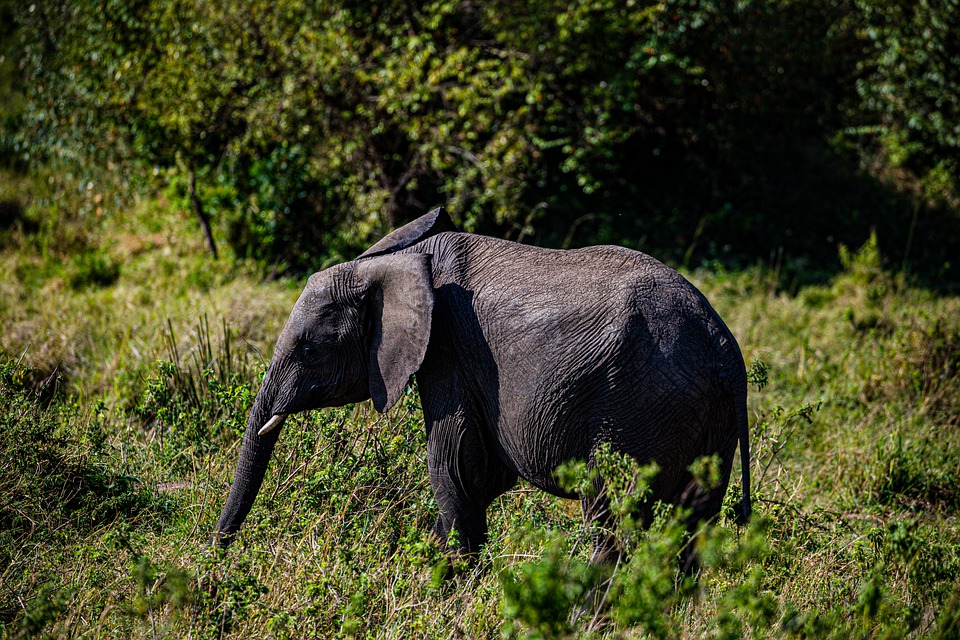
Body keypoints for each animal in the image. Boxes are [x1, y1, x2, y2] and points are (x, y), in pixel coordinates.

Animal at [212, 207, 751, 569]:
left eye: (308, 349)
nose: (218, 554)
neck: (399, 261)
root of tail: (724, 351)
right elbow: (487, 475)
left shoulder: (448, 352)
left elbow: (454, 464)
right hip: (705, 419)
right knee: (695, 523)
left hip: (637, 409)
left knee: (610, 513)